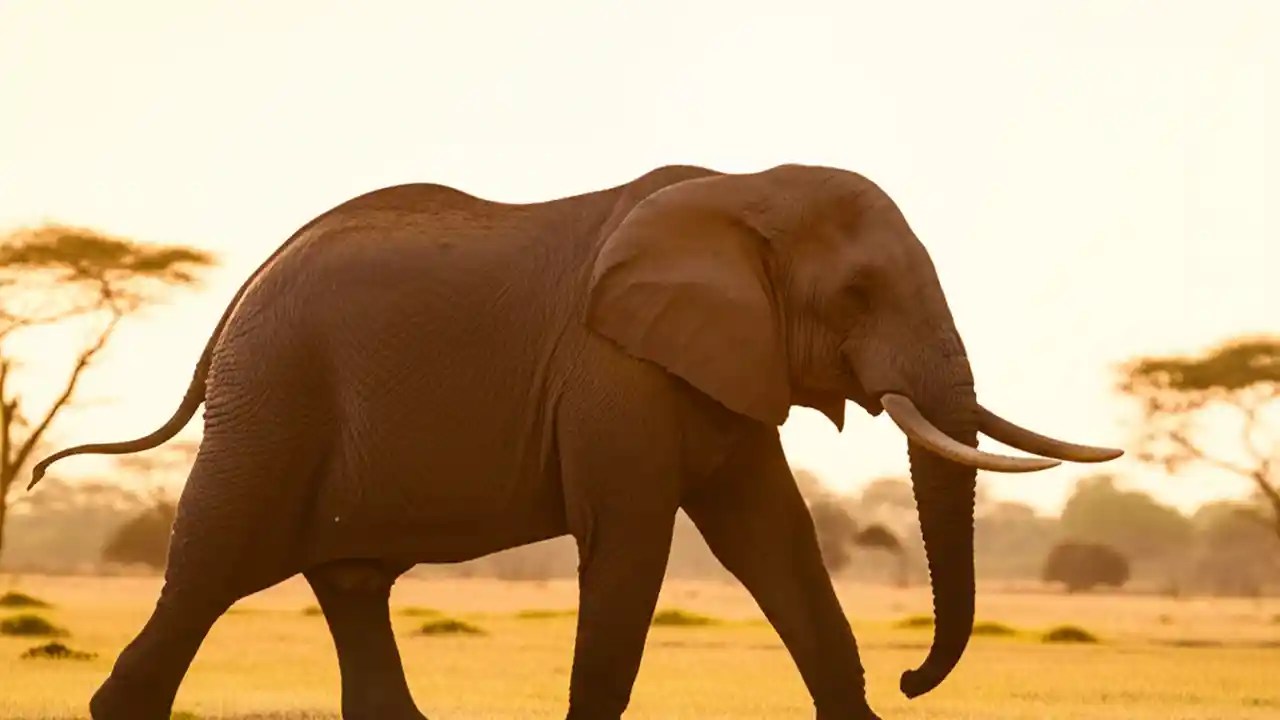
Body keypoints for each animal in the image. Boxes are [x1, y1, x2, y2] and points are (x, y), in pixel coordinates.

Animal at [32, 163, 1122, 720]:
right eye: (855, 295)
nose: (912, 680)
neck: (745, 188)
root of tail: (245, 285)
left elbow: (775, 542)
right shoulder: (612, 370)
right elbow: (633, 543)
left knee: (348, 583)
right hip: (274, 396)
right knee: (213, 565)